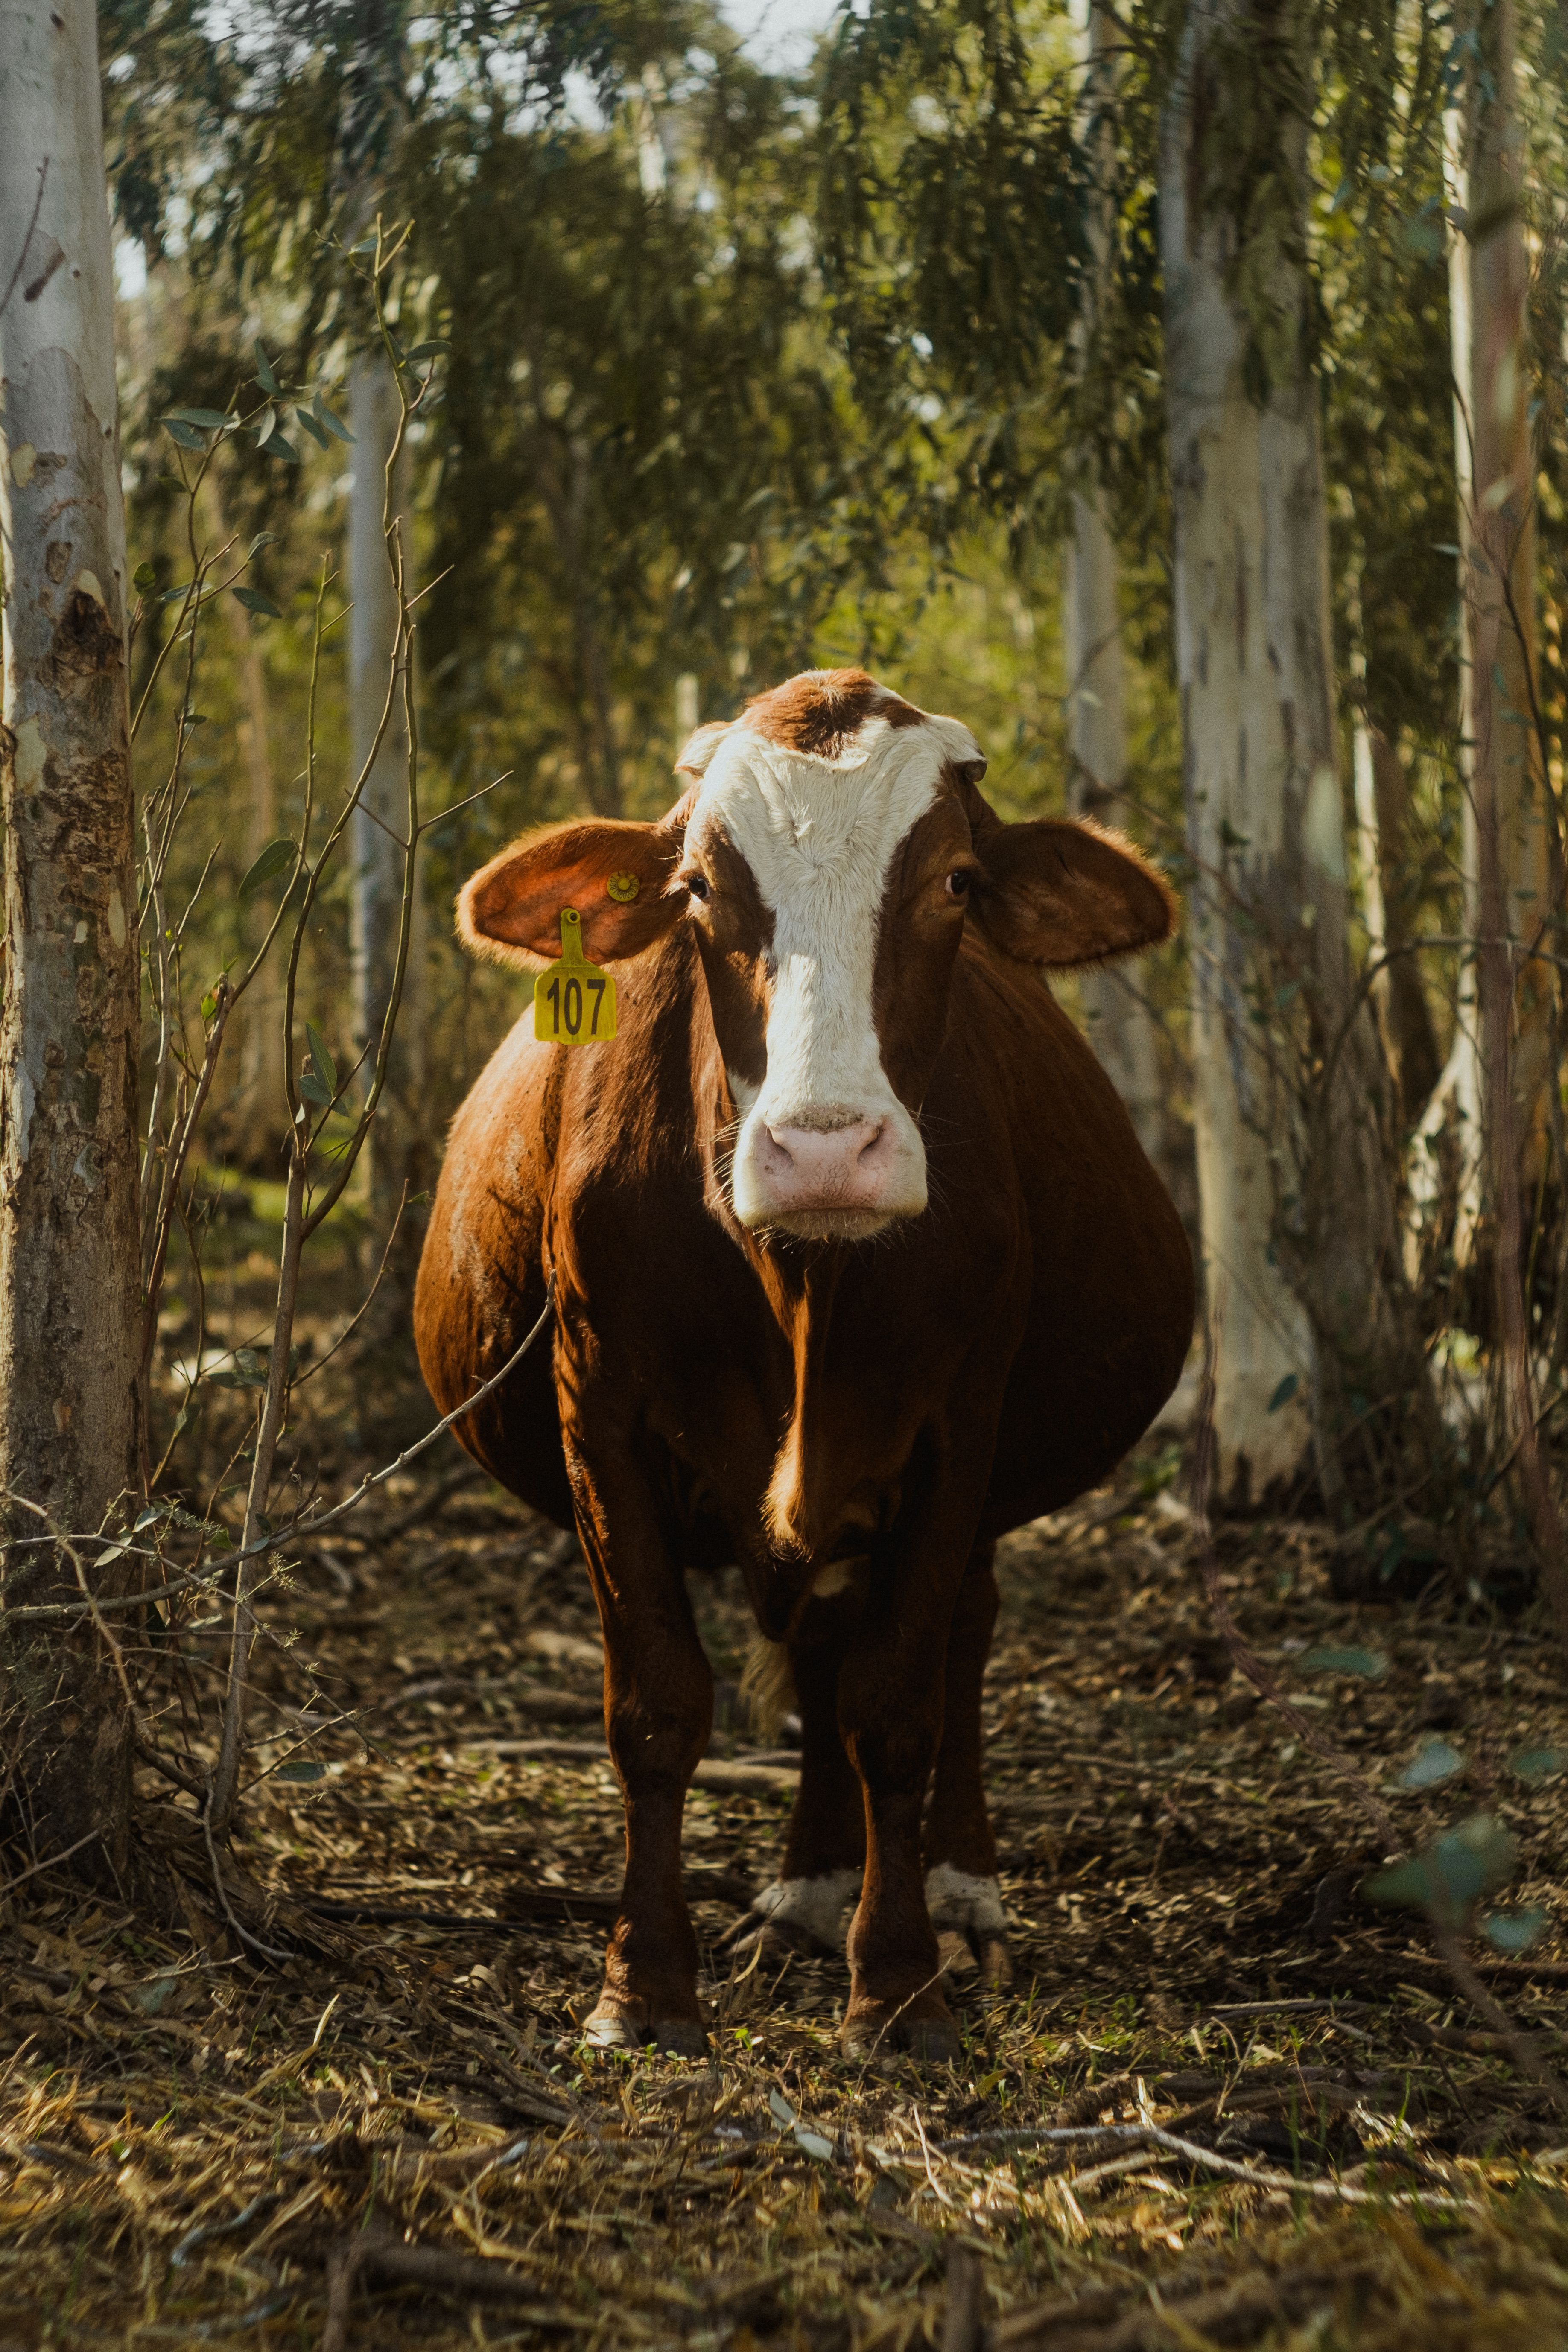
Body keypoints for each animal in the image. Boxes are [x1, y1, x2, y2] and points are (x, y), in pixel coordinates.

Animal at [414, 668, 1194, 2061]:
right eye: (698, 891)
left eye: (954, 883)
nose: (825, 1147)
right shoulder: (597, 1403)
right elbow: (658, 1701)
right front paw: (644, 1988)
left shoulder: (957, 1420)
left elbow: (896, 1701)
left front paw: (900, 1986)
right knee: (825, 1639)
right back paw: (808, 1892)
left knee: (954, 1638)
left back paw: (955, 1890)